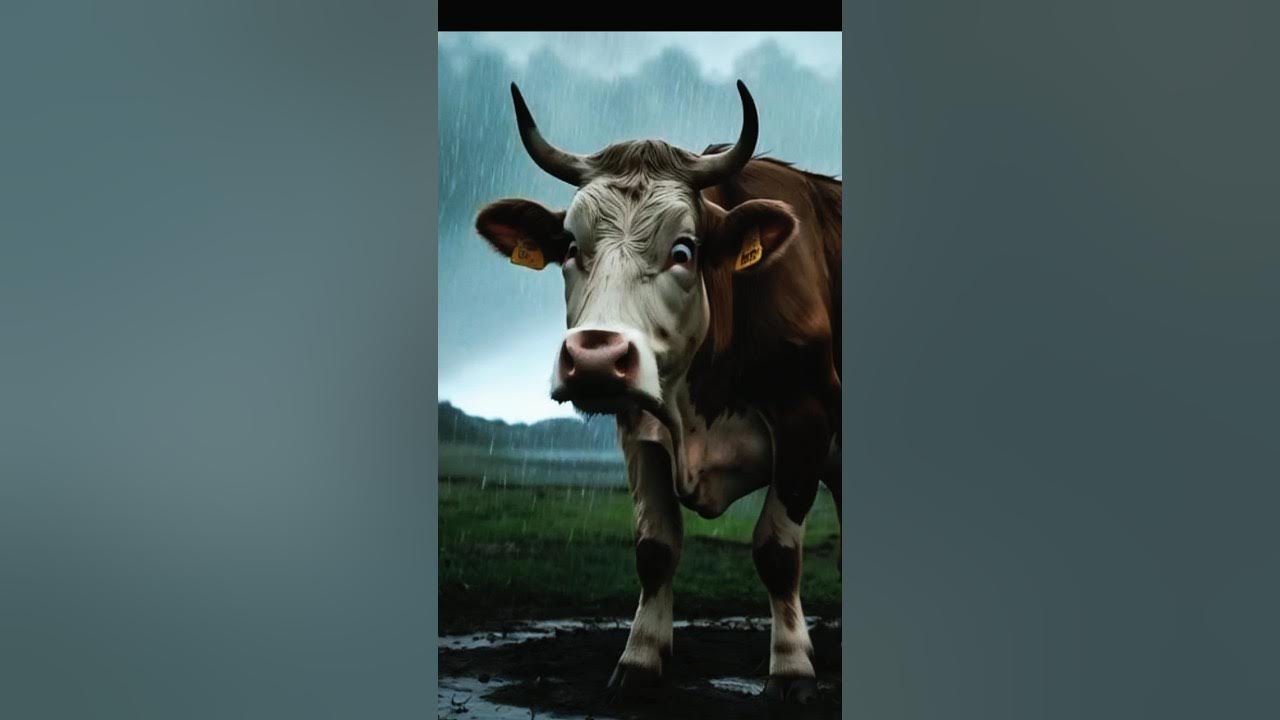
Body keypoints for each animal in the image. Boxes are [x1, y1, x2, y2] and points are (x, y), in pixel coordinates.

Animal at [473, 80, 841, 704]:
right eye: (569, 247)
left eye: (684, 250)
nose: (594, 359)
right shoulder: (639, 430)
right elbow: (655, 548)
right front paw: (640, 658)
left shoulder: (806, 419)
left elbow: (776, 551)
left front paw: (792, 670)